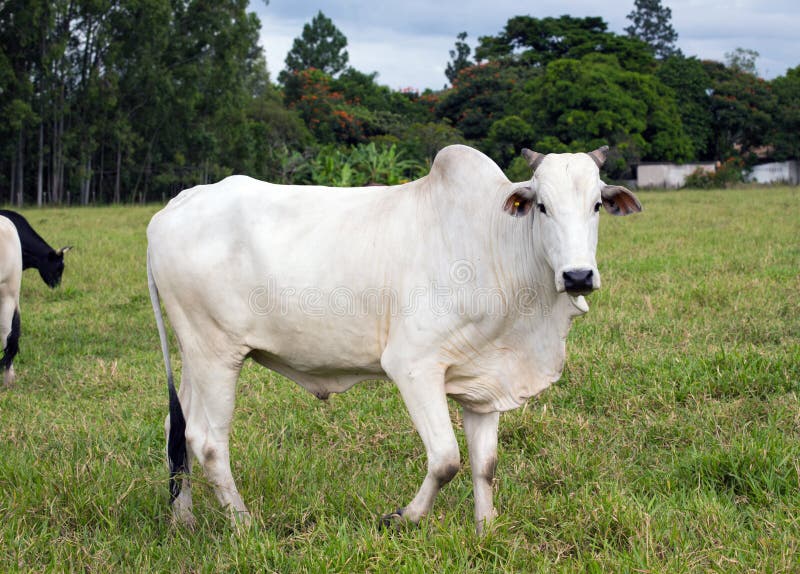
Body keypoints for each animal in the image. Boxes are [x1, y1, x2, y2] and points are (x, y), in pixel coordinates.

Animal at [147, 144, 642, 533]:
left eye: (597, 205)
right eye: (542, 207)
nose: (577, 276)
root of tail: (172, 209)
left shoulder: (484, 383)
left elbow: (485, 465)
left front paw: (486, 530)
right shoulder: (413, 365)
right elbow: (446, 459)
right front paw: (403, 517)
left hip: (195, 354)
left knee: (178, 428)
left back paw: (183, 520)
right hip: (216, 354)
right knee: (208, 441)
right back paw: (244, 524)